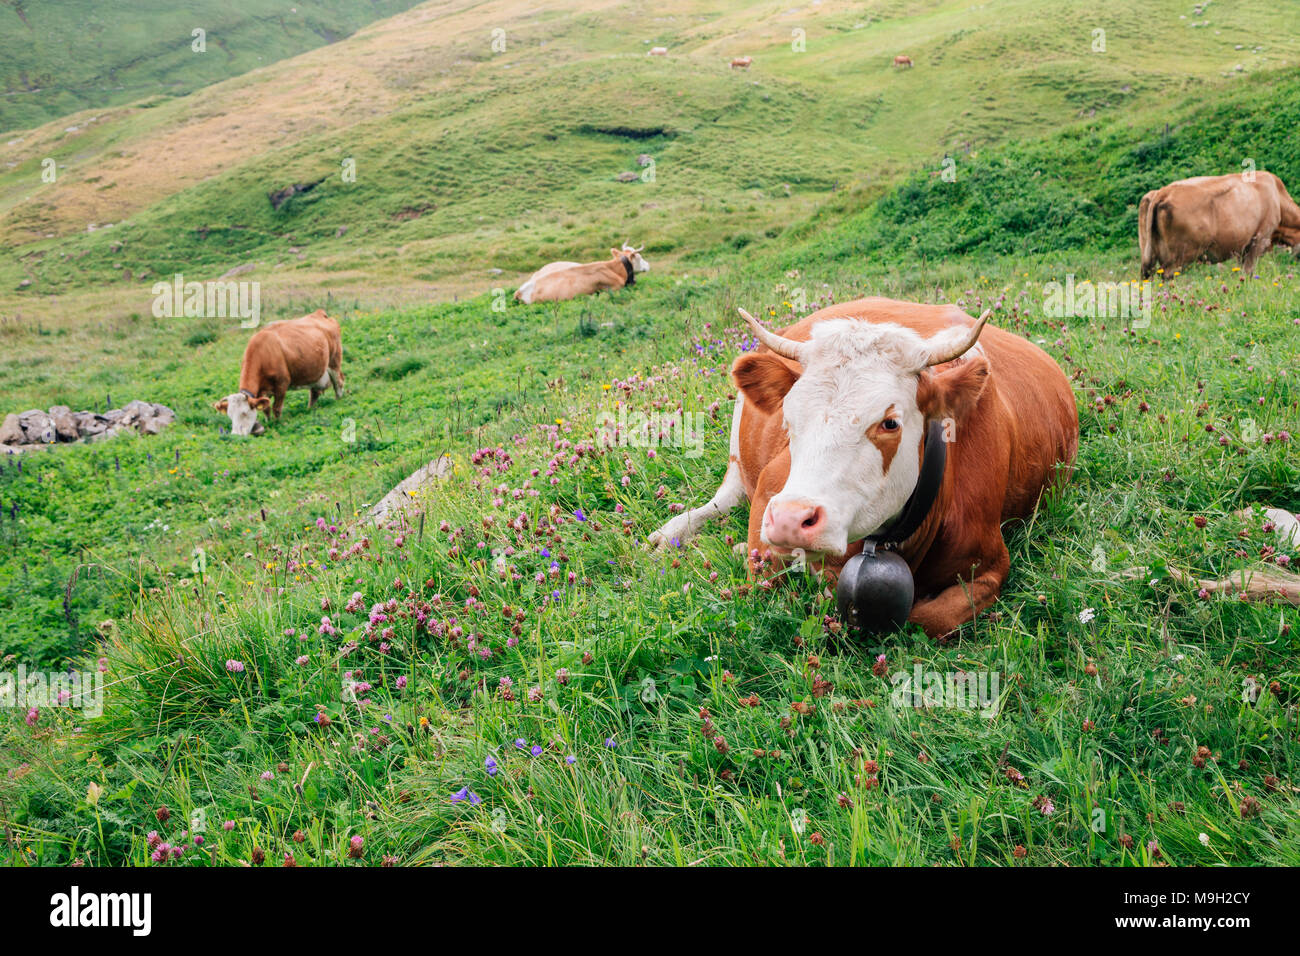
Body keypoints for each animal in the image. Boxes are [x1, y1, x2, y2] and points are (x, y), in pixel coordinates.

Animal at [213, 309, 343, 436]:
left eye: (244, 413)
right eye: (230, 415)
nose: (235, 434)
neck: (263, 354)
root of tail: (319, 313)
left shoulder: (282, 384)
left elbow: (276, 407)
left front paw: (277, 423)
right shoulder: (262, 391)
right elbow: (266, 409)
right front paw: (268, 422)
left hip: (334, 361)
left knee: (339, 381)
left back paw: (339, 400)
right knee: (314, 392)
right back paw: (310, 409)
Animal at [649, 298, 1078, 639]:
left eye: (889, 423)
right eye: (788, 417)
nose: (789, 520)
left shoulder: (991, 566)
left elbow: (927, 617)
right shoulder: (773, 487)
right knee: (724, 496)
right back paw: (668, 534)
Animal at [1139, 171, 1300, 279]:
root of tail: (1162, 192)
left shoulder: (1242, 248)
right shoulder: (1259, 240)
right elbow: (1248, 272)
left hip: (1150, 255)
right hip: (1179, 257)